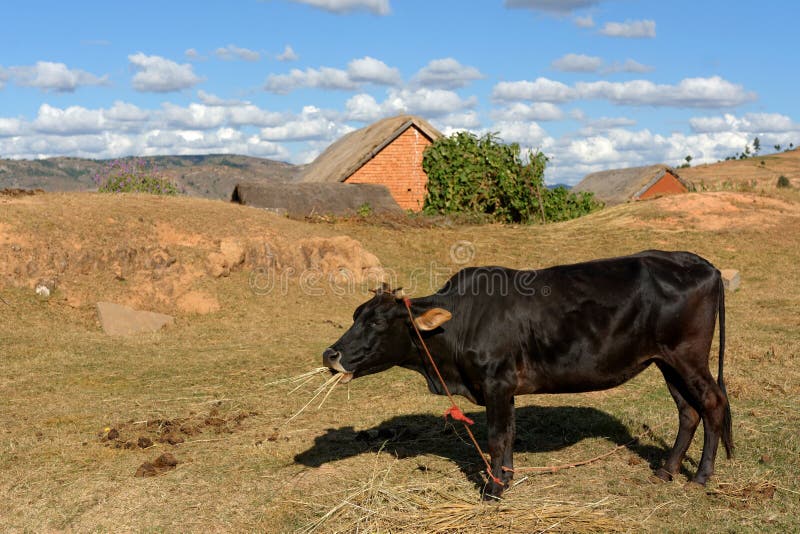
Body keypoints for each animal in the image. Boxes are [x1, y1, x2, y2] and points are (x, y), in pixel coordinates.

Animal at [321, 250, 733, 498]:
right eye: (355, 315)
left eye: (377, 321)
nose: (331, 354)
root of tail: (701, 264)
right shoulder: (505, 389)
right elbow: (509, 435)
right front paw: (505, 478)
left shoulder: (496, 382)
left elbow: (496, 436)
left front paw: (492, 489)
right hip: (666, 362)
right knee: (688, 411)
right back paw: (666, 469)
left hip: (687, 356)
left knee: (712, 403)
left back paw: (701, 475)